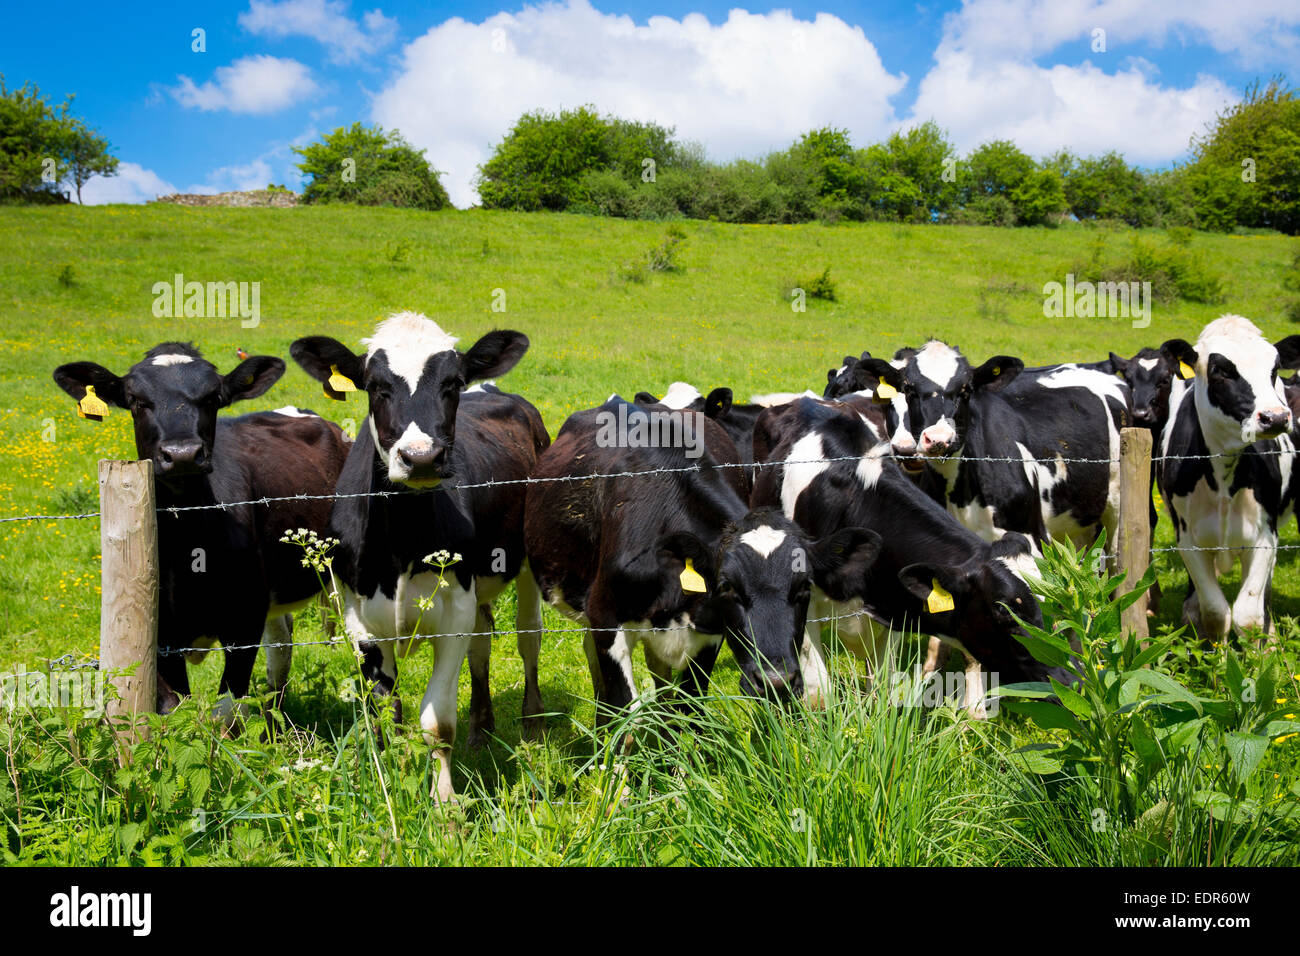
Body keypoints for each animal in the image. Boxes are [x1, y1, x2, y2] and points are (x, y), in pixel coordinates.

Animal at [52, 343, 350, 715]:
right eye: (135, 400)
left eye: (213, 398)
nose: (181, 454)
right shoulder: (161, 637)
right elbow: (174, 710)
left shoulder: (244, 621)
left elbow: (225, 710)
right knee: (281, 645)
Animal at [289, 312, 548, 803]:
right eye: (374, 386)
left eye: (454, 382)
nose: (422, 458)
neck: (399, 541)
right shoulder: (358, 618)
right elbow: (383, 715)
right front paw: (389, 782)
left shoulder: (454, 610)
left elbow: (436, 722)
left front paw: (444, 803)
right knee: (483, 642)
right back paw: (481, 728)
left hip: (525, 564)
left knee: (528, 637)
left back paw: (532, 725)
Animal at [523, 396, 880, 724]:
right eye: (727, 588)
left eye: (804, 588)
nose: (775, 681)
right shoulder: (605, 618)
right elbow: (625, 713)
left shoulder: (709, 633)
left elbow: (687, 710)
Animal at [750, 396, 1069, 714]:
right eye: (1003, 612)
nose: (1067, 679)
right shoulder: (805, 598)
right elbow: (819, 692)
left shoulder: (892, 606)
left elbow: (883, 683)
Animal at [1158, 315, 1300, 643]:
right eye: (1221, 370)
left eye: (1274, 369)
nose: (1275, 417)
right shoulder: (1188, 539)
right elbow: (1215, 612)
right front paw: (1216, 655)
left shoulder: (1265, 535)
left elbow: (1247, 615)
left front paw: (1258, 654)